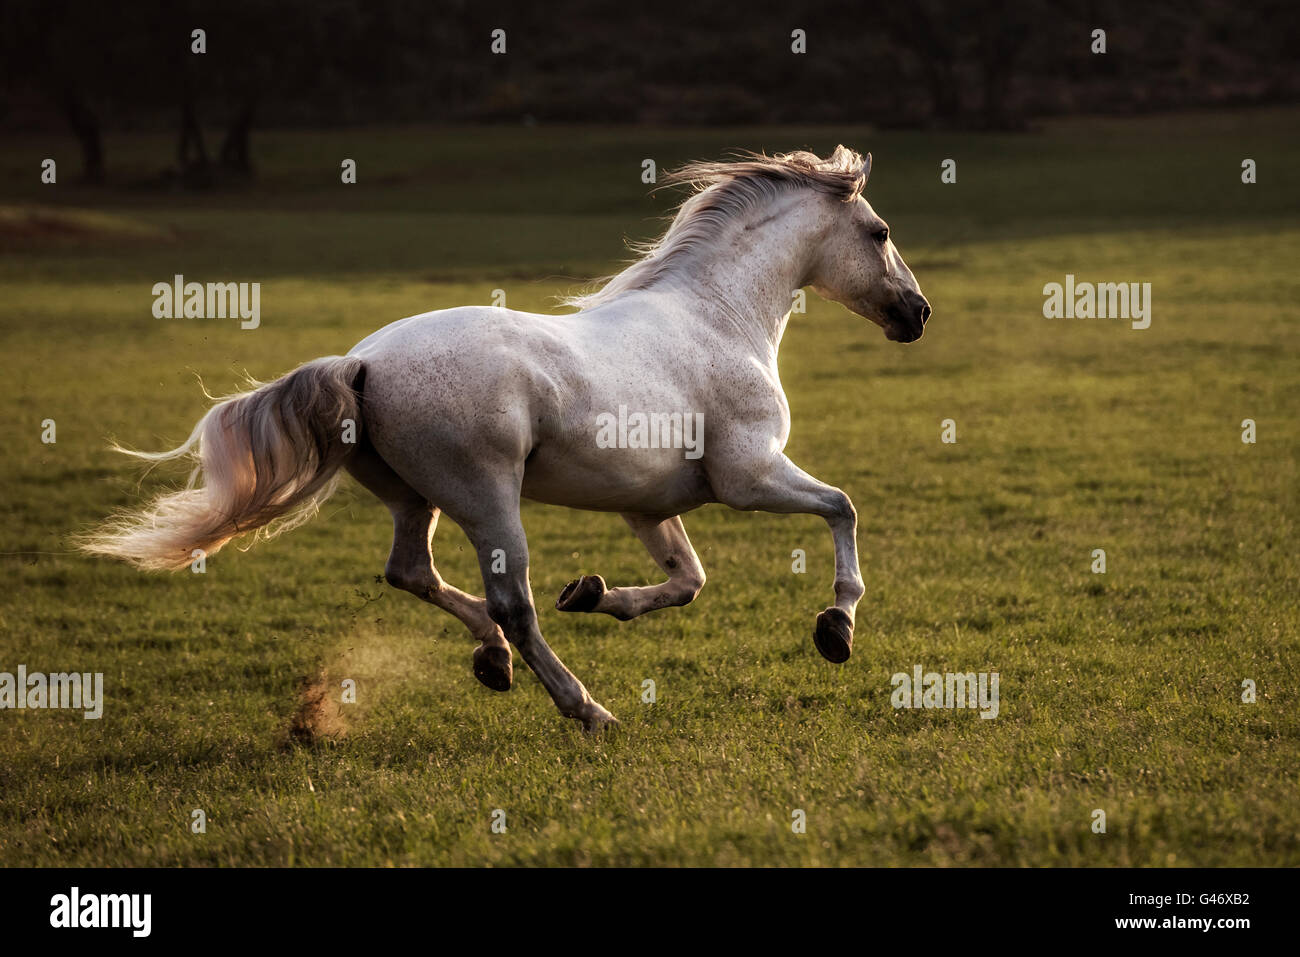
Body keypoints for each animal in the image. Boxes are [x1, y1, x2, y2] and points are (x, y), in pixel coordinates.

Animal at [81, 145, 932, 733]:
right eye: (880, 231)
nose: (917, 313)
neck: (717, 317)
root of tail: (361, 362)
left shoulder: (650, 505)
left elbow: (687, 581)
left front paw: (593, 593)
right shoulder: (749, 476)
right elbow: (843, 507)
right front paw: (836, 628)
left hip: (413, 498)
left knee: (411, 573)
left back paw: (492, 660)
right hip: (488, 498)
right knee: (511, 602)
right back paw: (587, 709)